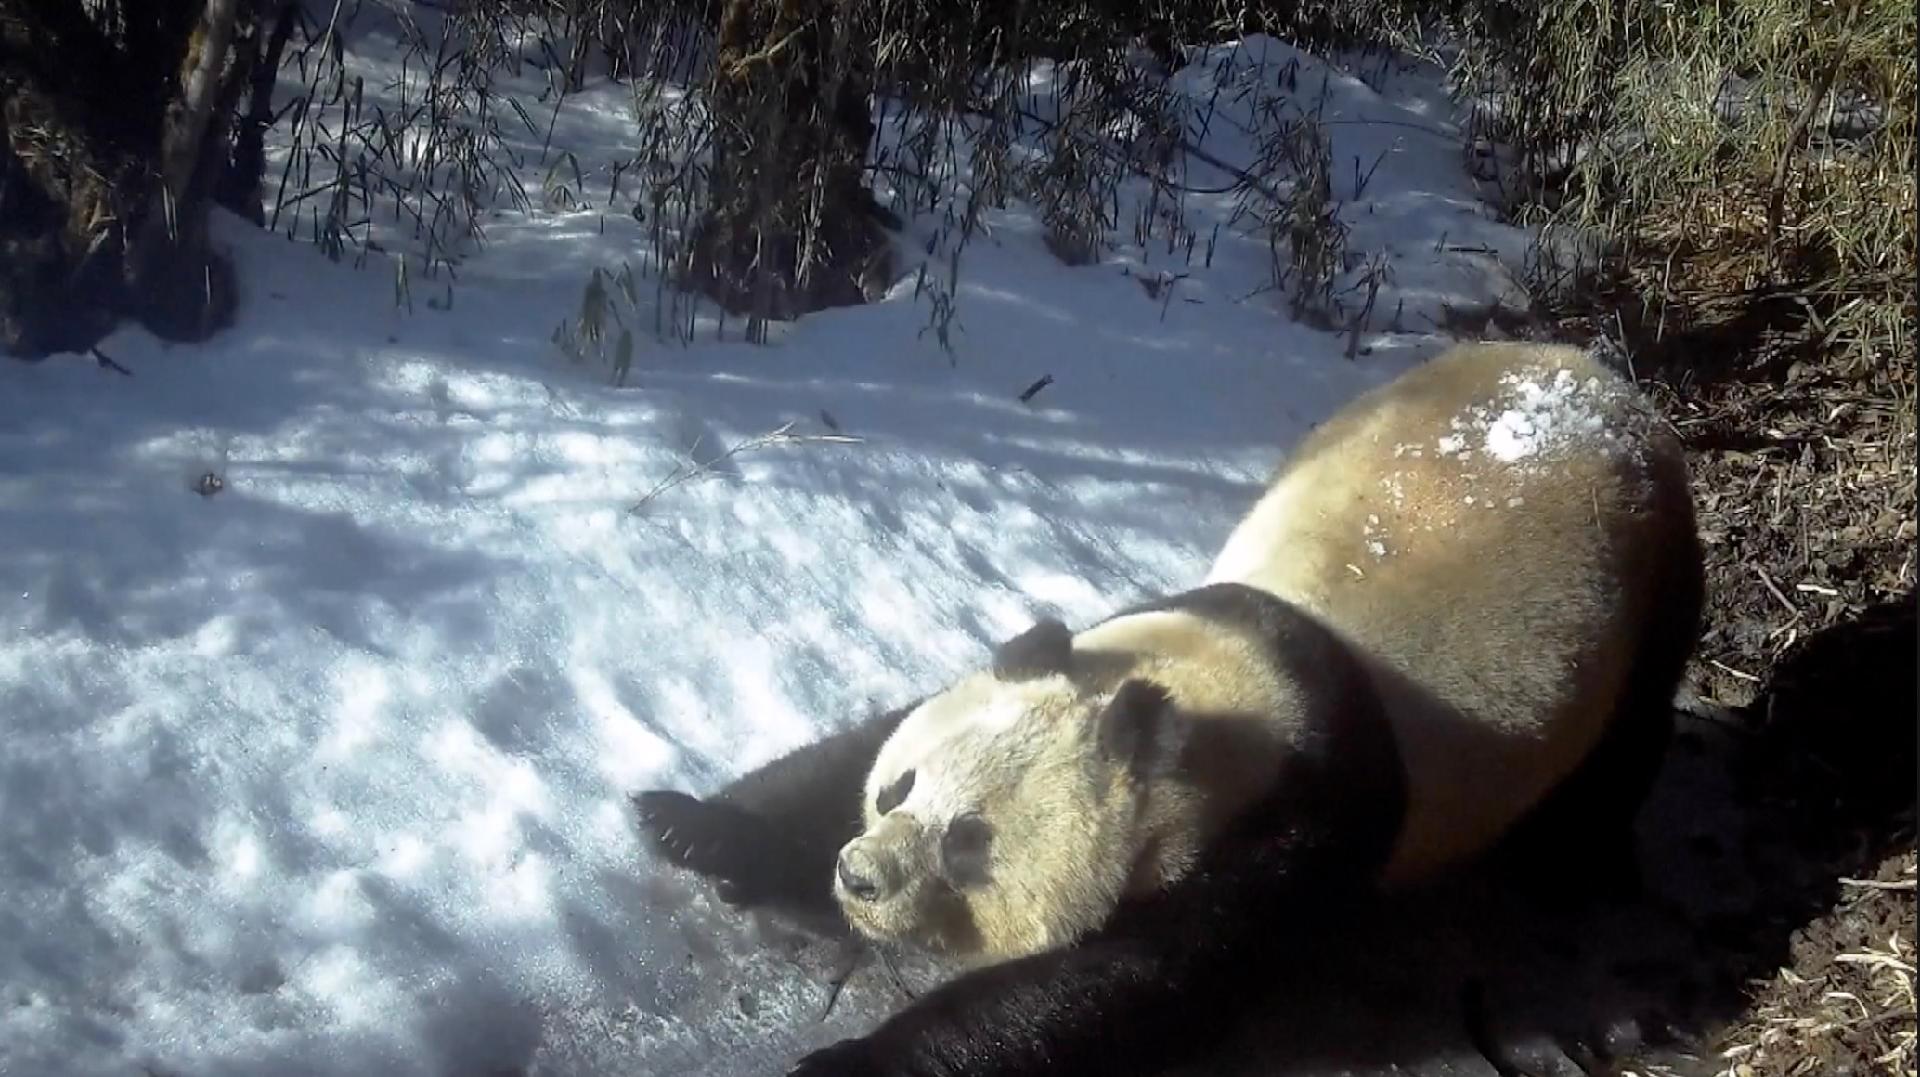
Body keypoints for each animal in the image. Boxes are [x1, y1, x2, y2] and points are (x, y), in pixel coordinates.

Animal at [635, 340, 1706, 1077]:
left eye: (972, 845)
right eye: (902, 788)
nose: (858, 875)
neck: (1229, 685)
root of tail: (1597, 374)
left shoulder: (1293, 821)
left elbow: (1117, 988)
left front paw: (845, 1063)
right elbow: (849, 746)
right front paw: (690, 827)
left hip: (1652, 566)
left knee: (1628, 733)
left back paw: (1578, 863)